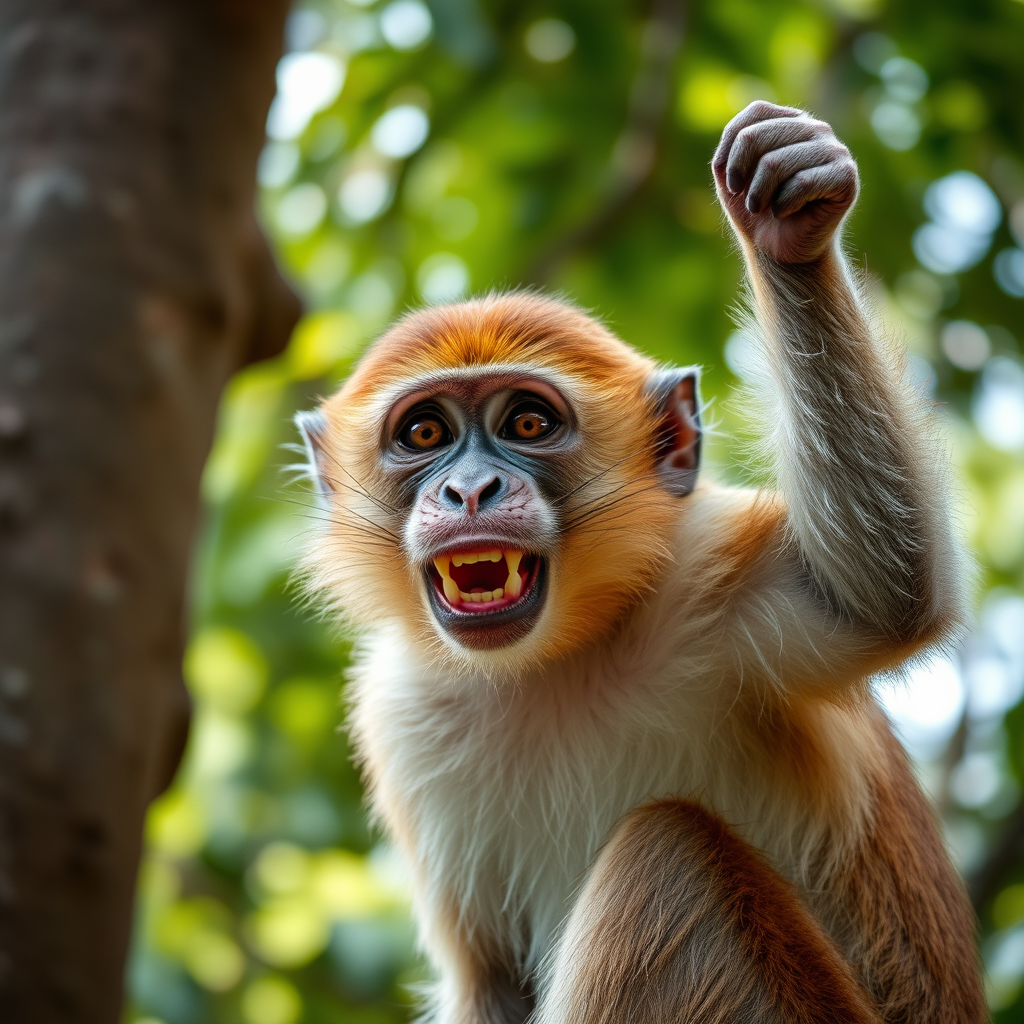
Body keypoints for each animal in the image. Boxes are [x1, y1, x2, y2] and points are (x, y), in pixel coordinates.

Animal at [296, 101, 988, 1023]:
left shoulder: (709, 581)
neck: (554, 664)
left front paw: (790, 234)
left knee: (668, 851)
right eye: (424, 433)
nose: (470, 489)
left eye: (527, 423)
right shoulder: (403, 712)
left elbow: (884, 595)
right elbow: (492, 981)